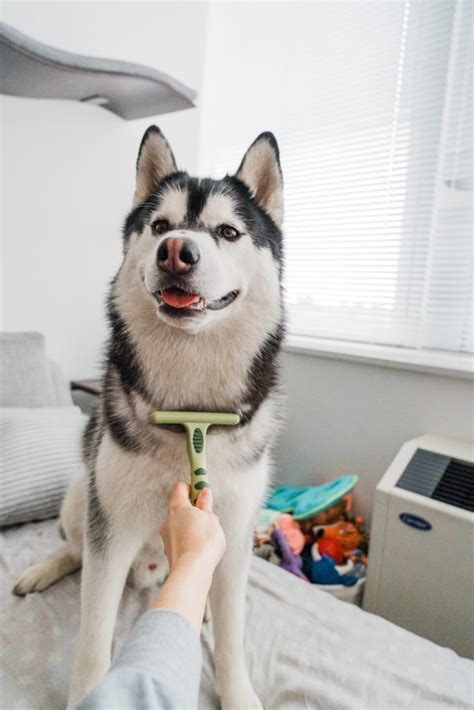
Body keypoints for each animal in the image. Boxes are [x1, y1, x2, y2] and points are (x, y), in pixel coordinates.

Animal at [14, 128, 286, 710]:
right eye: (160, 226)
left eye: (228, 232)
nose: (177, 252)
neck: (193, 406)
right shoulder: (111, 530)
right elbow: (94, 635)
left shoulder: (230, 532)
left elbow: (232, 631)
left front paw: (237, 691)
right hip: (83, 493)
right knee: (76, 551)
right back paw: (44, 569)